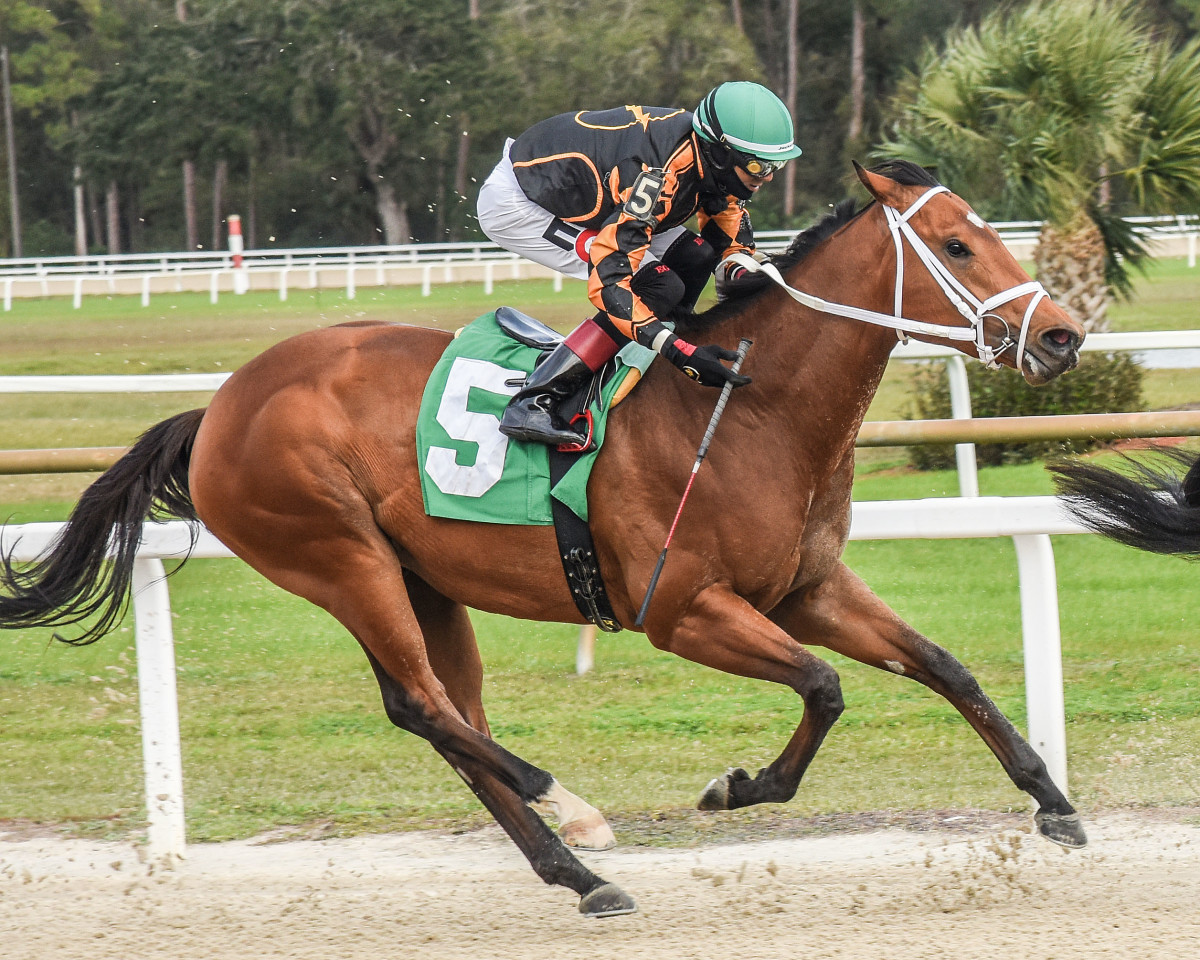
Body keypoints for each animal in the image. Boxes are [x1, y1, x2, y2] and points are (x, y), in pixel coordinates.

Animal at [0, 161, 1086, 918]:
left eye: (987, 233)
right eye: (956, 246)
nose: (1064, 334)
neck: (752, 407)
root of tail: (218, 407)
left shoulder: (805, 589)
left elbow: (944, 666)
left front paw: (1053, 801)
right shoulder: (682, 609)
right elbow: (823, 688)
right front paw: (737, 787)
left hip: (419, 577)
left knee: (445, 712)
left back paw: (575, 870)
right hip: (339, 557)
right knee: (426, 709)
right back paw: (568, 806)